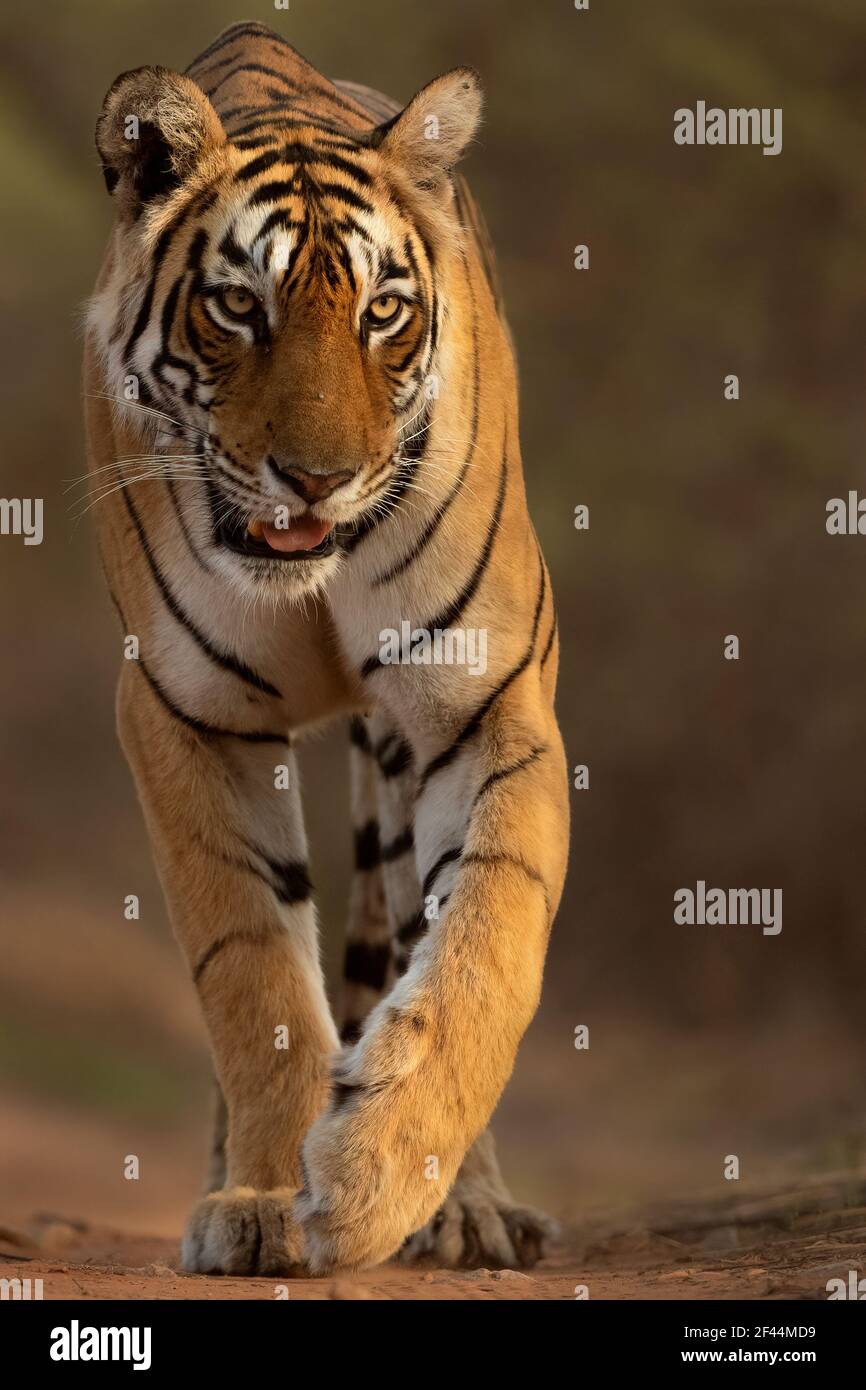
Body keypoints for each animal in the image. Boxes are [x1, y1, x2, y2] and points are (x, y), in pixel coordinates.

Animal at [84, 20, 569, 1275]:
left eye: (382, 312)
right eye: (236, 306)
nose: (317, 478)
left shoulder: (484, 701)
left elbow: (483, 941)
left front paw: (373, 1176)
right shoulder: (183, 715)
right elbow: (251, 971)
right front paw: (265, 1201)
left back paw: (466, 1209)